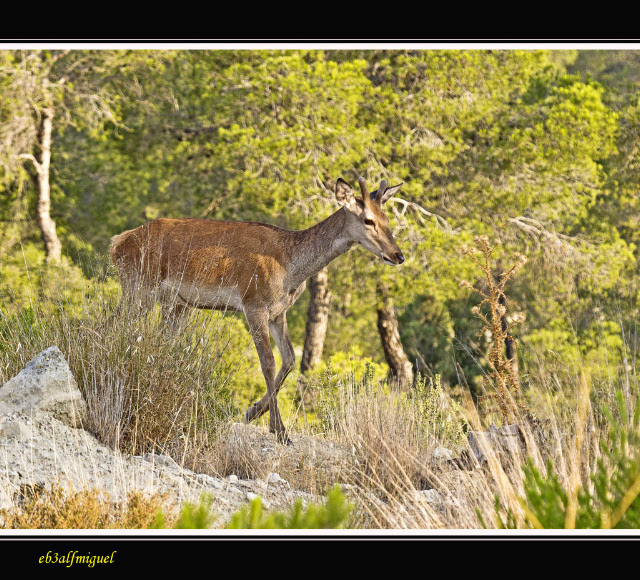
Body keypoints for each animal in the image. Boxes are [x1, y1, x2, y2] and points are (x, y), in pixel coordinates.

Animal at [109, 177, 405, 444]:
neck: (291, 270)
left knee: (161, 342)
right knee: (115, 324)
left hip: (175, 303)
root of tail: (117, 242)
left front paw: (252, 411)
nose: (398, 255)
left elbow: (289, 359)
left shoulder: (278, 312)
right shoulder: (253, 303)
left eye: (388, 220)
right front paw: (279, 430)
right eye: (368, 220)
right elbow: (268, 362)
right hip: (139, 286)